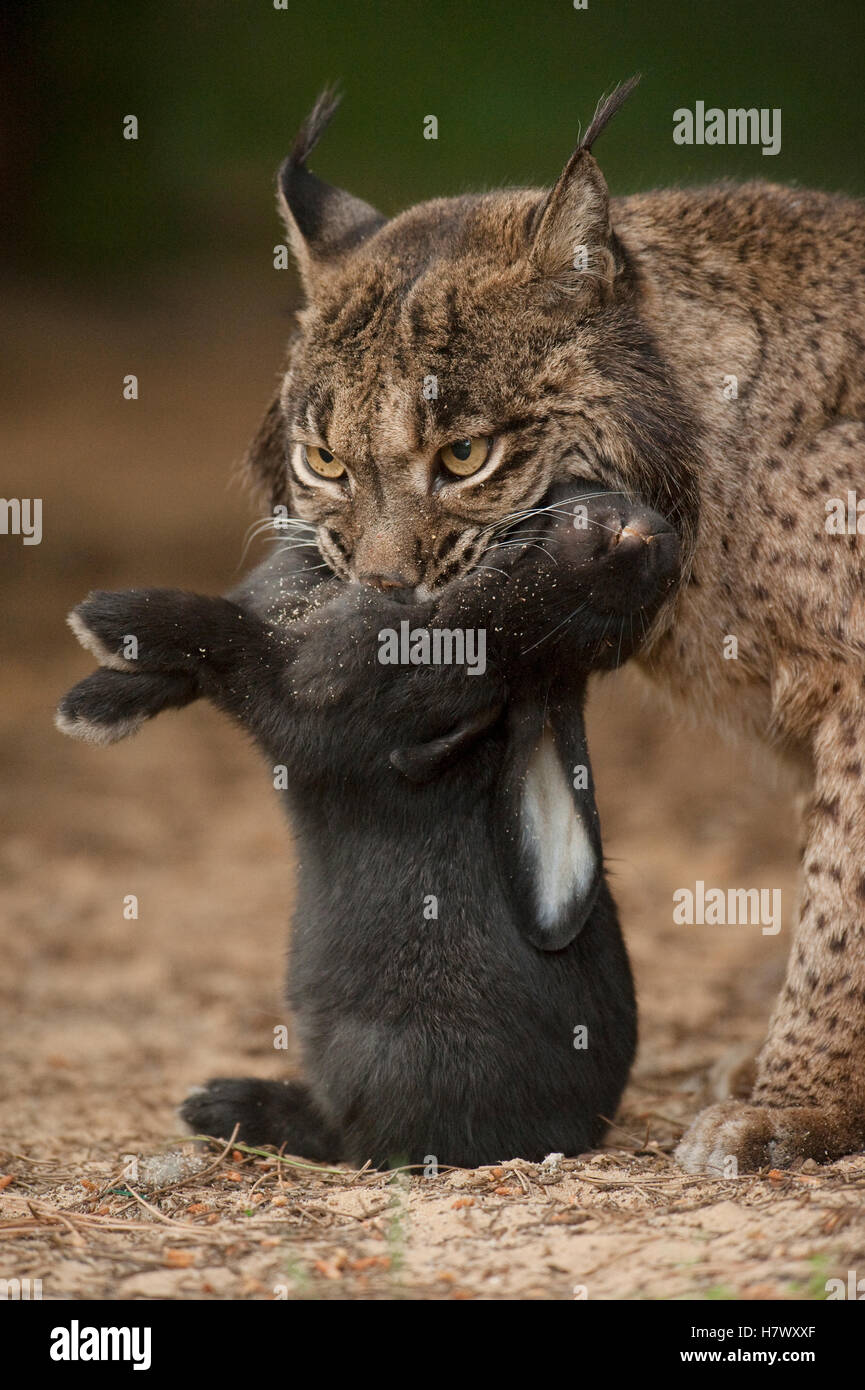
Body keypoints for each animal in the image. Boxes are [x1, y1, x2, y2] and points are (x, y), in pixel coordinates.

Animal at [57, 490, 679, 1168]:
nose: (648, 540)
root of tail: (565, 1135)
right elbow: (185, 667)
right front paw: (98, 701)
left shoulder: (303, 697)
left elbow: (226, 640)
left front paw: (104, 624)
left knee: (350, 1137)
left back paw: (222, 1105)